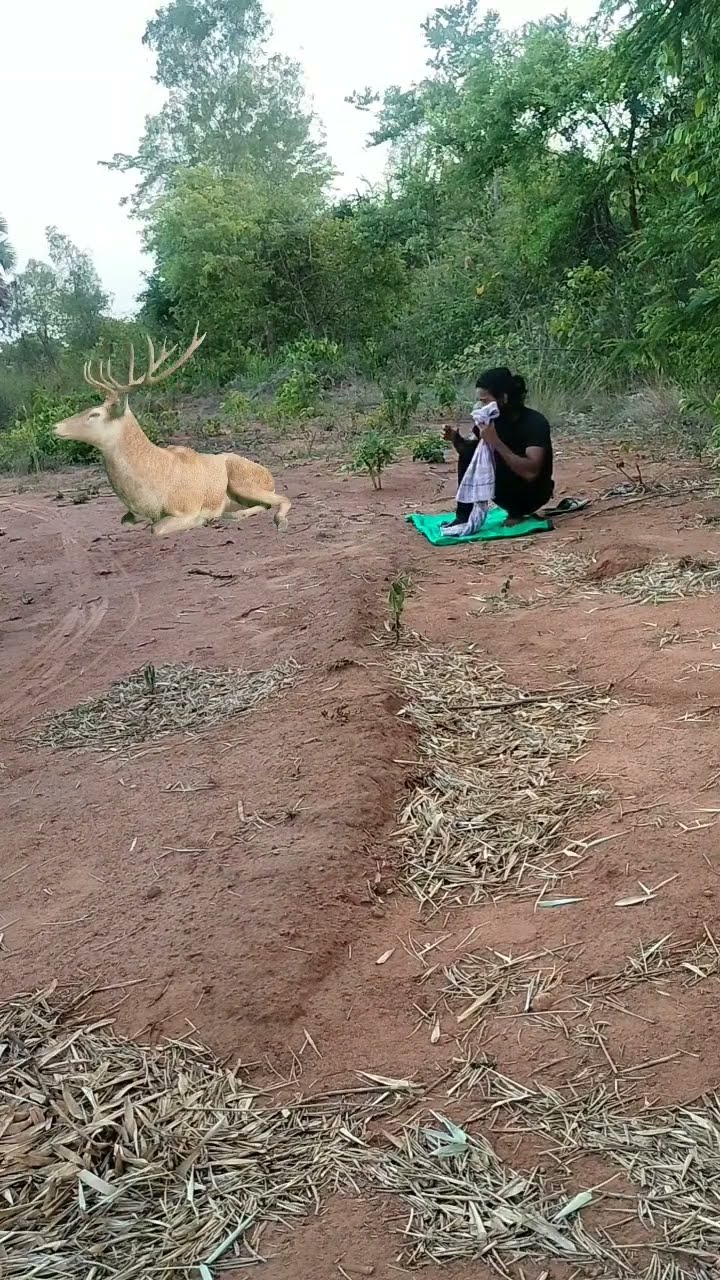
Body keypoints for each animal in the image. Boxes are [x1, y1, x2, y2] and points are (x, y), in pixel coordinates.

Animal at [53, 327, 291, 537]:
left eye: (94, 414)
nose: (55, 426)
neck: (151, 493)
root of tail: (268, 475)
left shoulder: (187, 507)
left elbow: (156, 528)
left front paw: (202, 520)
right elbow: (125, 521)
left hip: (242, 480)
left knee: (283, 498)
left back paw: (270, 521)